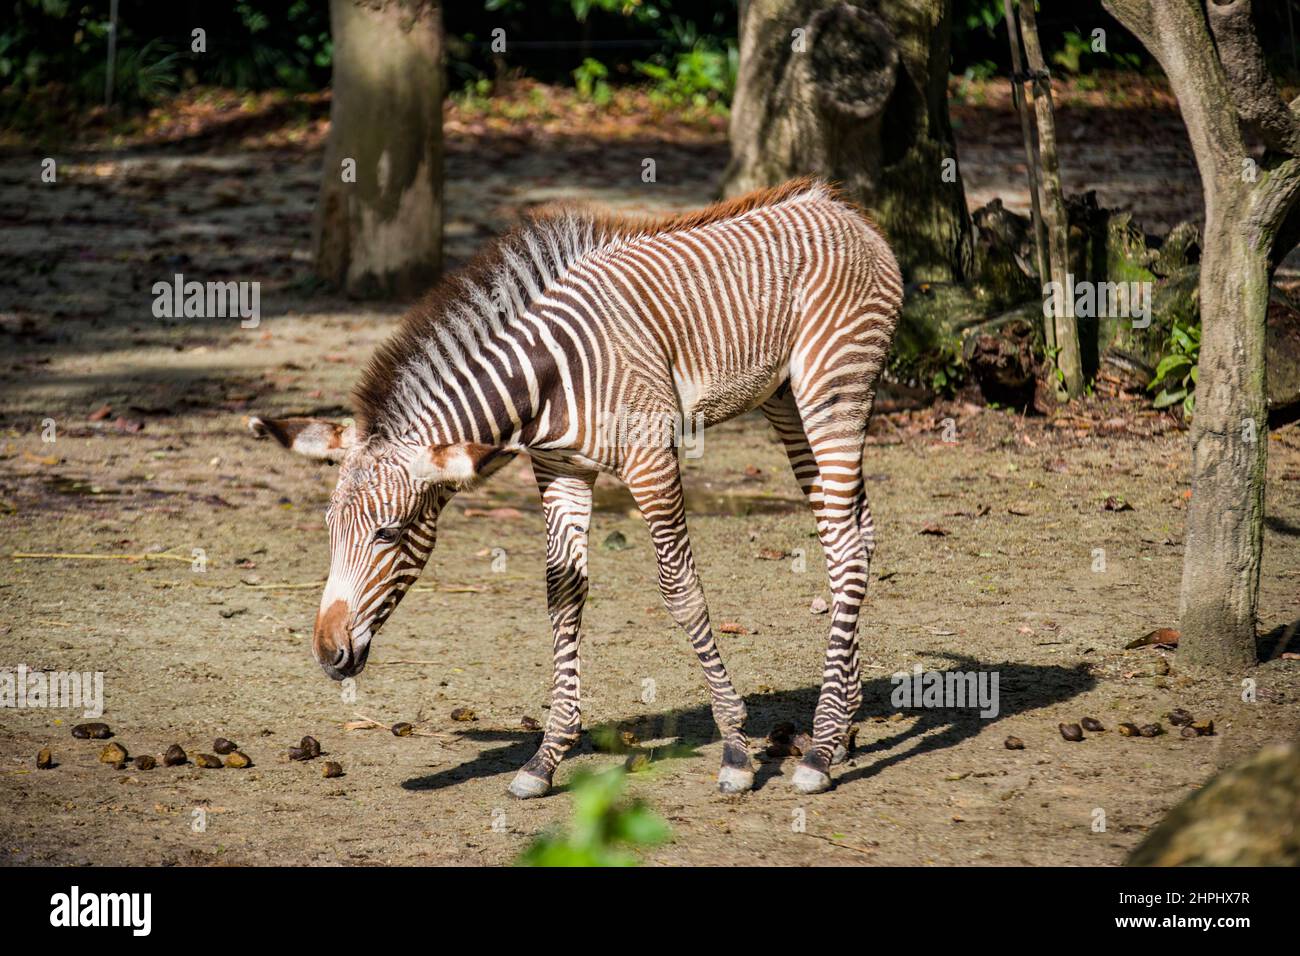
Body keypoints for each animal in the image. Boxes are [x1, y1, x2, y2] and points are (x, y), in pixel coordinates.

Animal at [249, 179, 903, 797]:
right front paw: (545, 759)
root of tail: (841, 209)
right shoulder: (560, 470)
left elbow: (681, 592)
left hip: (833, 391)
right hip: (786, 400)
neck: (548, 380)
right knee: (854, 537)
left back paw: (820, 752)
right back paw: (842, 726)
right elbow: (562, 594)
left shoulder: (651, 460)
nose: (326, 654)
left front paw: (736, 751)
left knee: (847, 548)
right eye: (329, 531)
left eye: (387, 534)